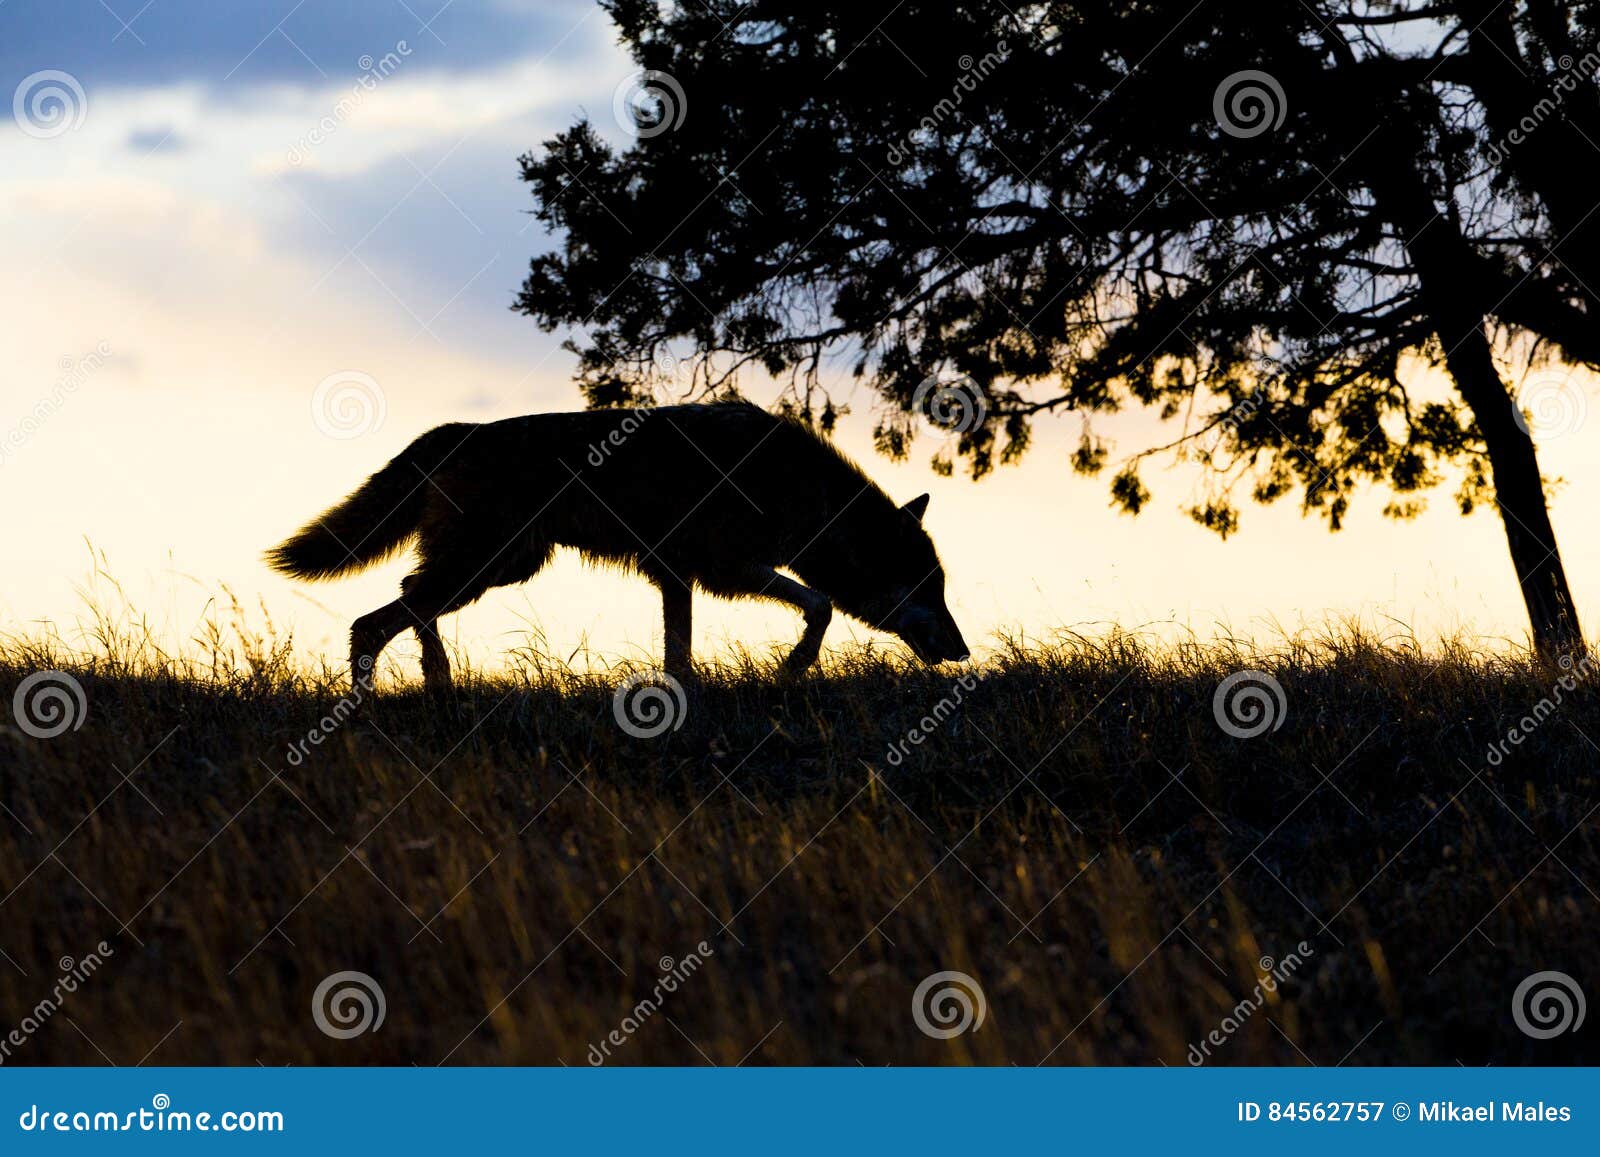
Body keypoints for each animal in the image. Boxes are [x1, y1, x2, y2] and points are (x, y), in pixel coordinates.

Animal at [267, 402, 969, 693]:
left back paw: (437, 678)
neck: (802, 490)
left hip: (499, 569)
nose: (965, 652)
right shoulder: (725, 569)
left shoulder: (680, 578)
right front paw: (795, 666)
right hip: (485, 568)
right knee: (373, 620)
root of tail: (457, 430)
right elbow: (819, 605)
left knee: (404, 601)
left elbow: (679, 655)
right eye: (931, 589)